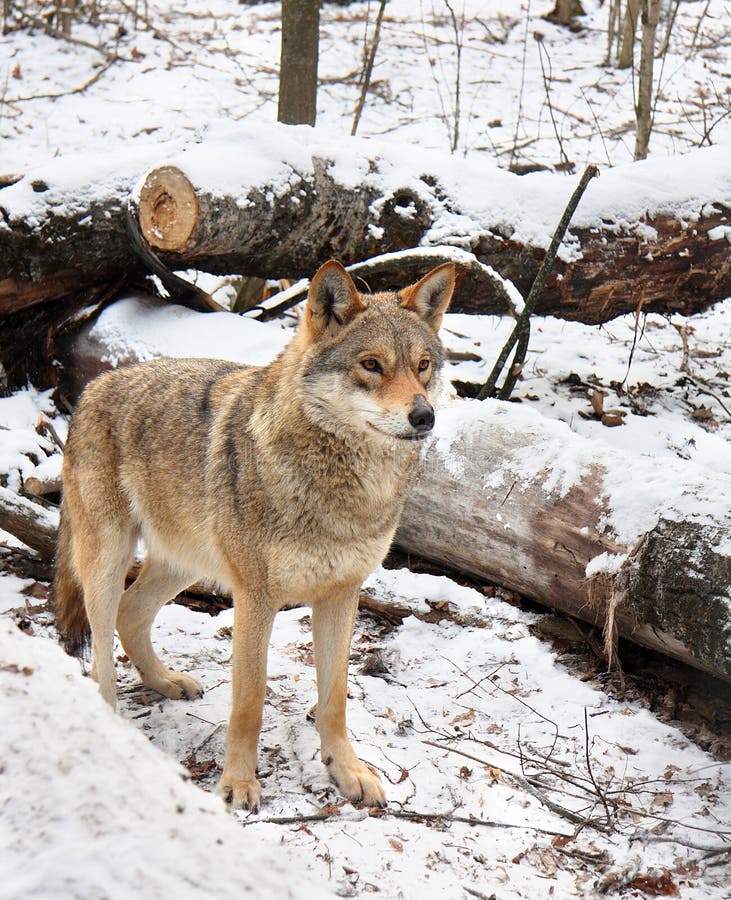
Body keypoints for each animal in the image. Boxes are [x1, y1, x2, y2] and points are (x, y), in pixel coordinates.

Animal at [55, 259, 455, 811]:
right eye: (371, 365)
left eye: (422, 365)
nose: (424, 416)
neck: (344, 492)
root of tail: (94, 386)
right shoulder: (255, 597)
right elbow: (248, 701)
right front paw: (239, 784)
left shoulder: (342, 594)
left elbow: (334, 699)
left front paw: (347, 770)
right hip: (108, 560)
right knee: (101, 652)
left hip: (183, 564)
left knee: (129, 614)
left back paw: (165, 682)